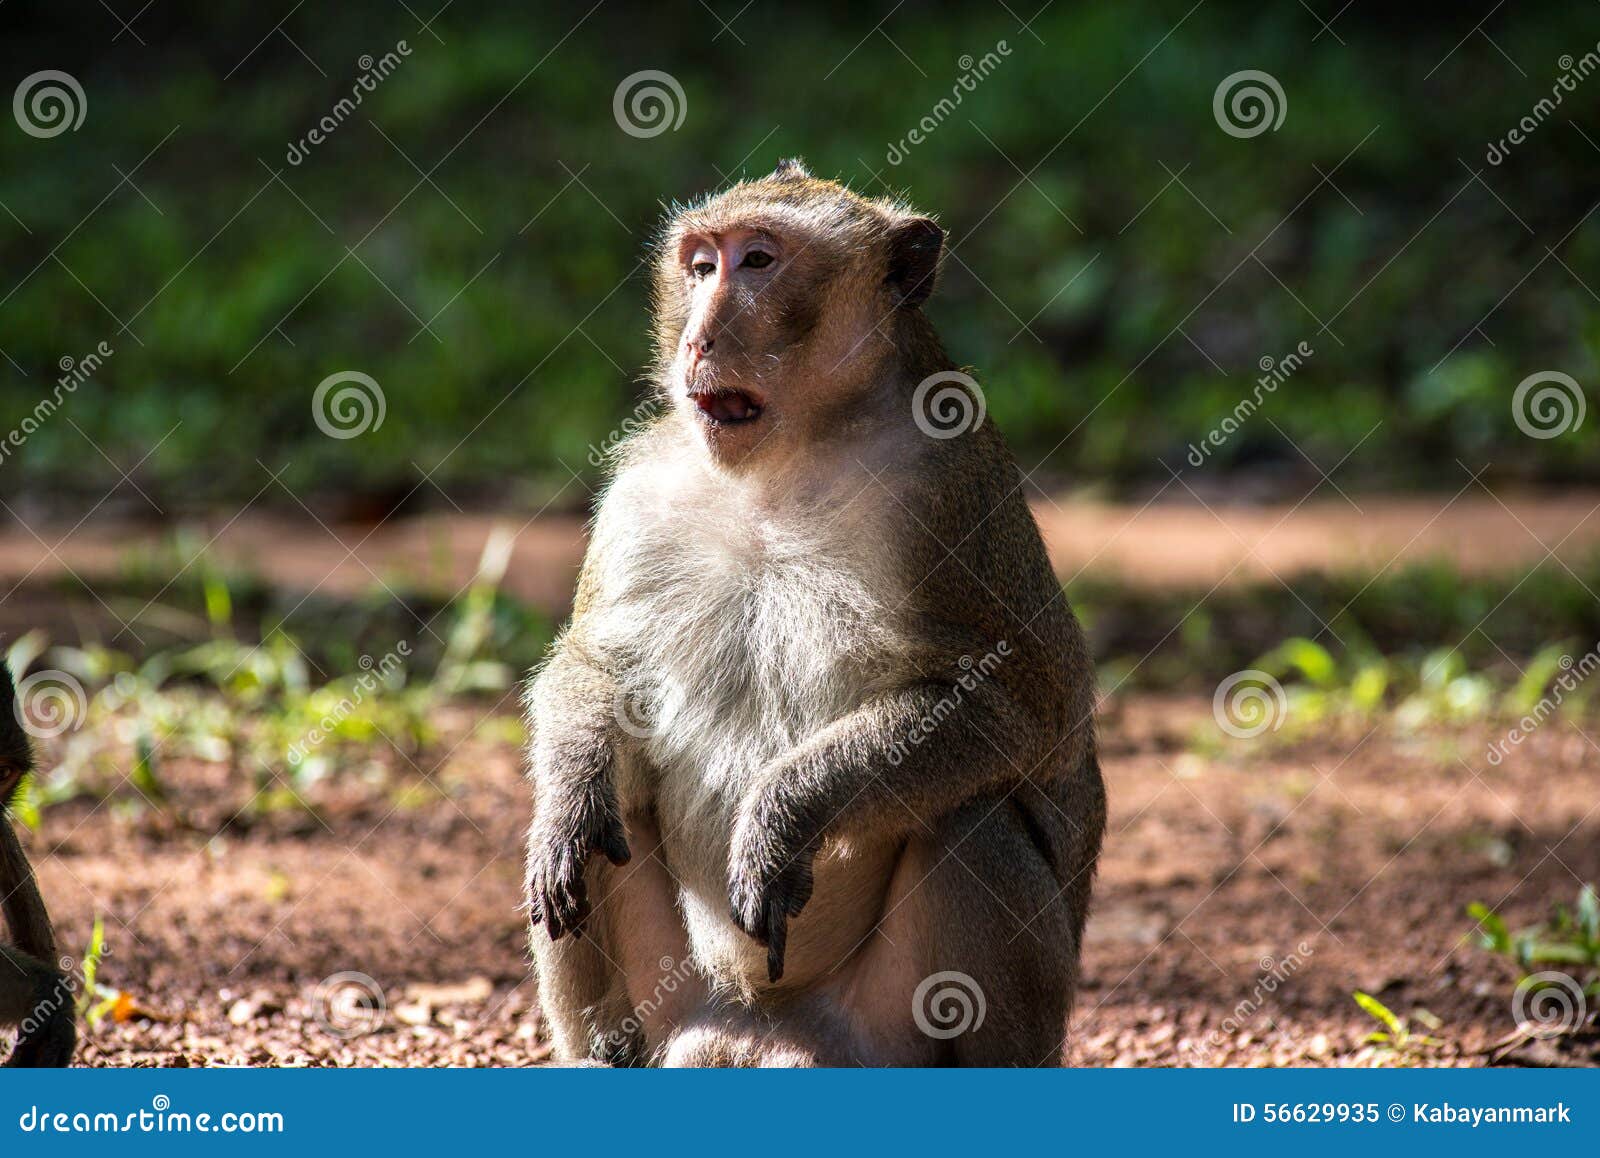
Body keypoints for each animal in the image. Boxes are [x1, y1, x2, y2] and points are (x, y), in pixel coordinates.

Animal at [524, 158, 1104, 1066]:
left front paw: (784, 813)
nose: (698, 338)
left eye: (759, 261)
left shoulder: (945, 491)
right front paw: (570, 798)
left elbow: (1016, 709)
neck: (781, 465)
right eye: (700, 265)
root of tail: (765, 1032)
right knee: (597, 846)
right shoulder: (640, 491)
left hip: (890, 1030)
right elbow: (596, 668)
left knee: (972, 820)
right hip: (677, 1003)